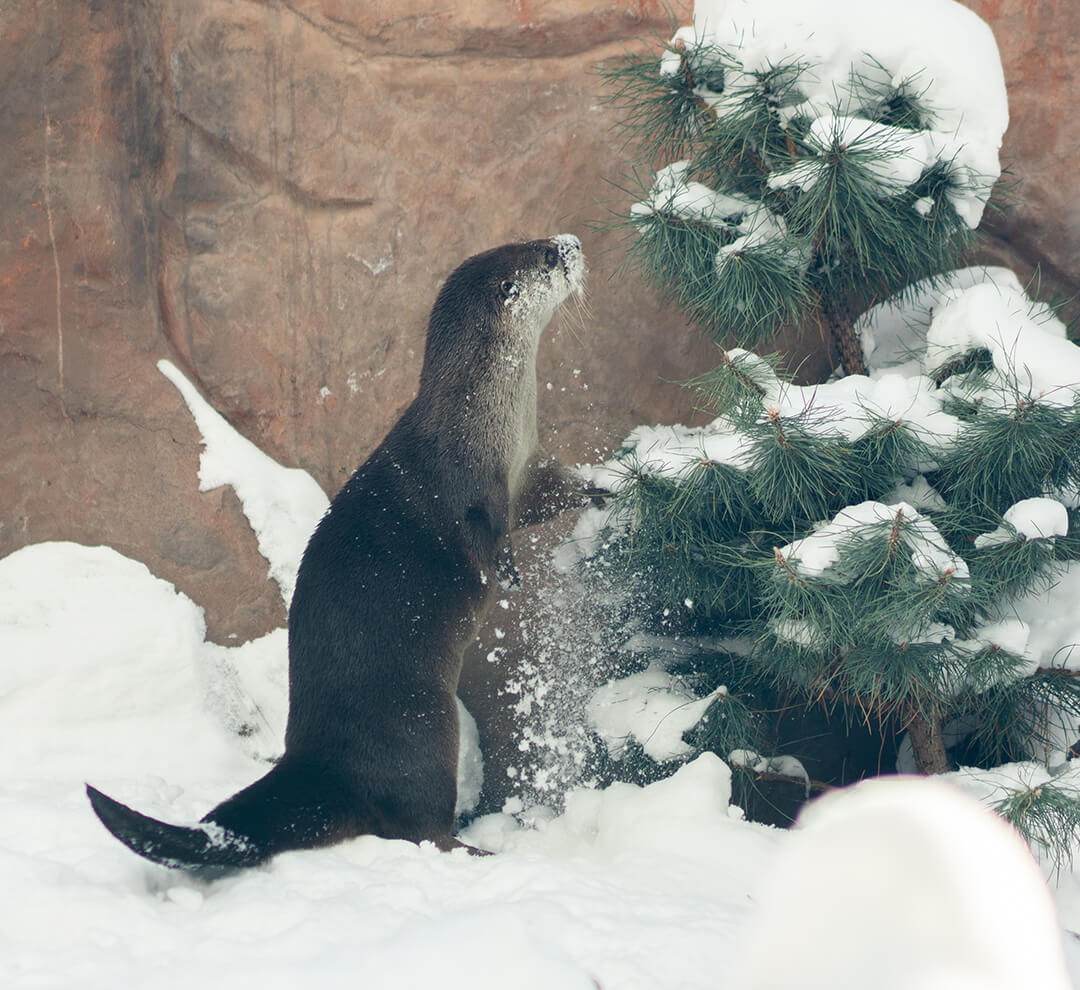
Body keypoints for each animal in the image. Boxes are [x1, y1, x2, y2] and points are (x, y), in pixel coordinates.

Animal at [86, 234, 587, 871]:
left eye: (539, 241)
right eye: (546, 256)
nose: (572, 242)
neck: (486, 418)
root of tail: (321, 765)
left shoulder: (527, 471)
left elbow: (556, 494)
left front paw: (616, 483)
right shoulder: (465, 482)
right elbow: (480, 534)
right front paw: (509, 571)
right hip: (424, 724)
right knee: (418, 826)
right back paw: (479, 852)